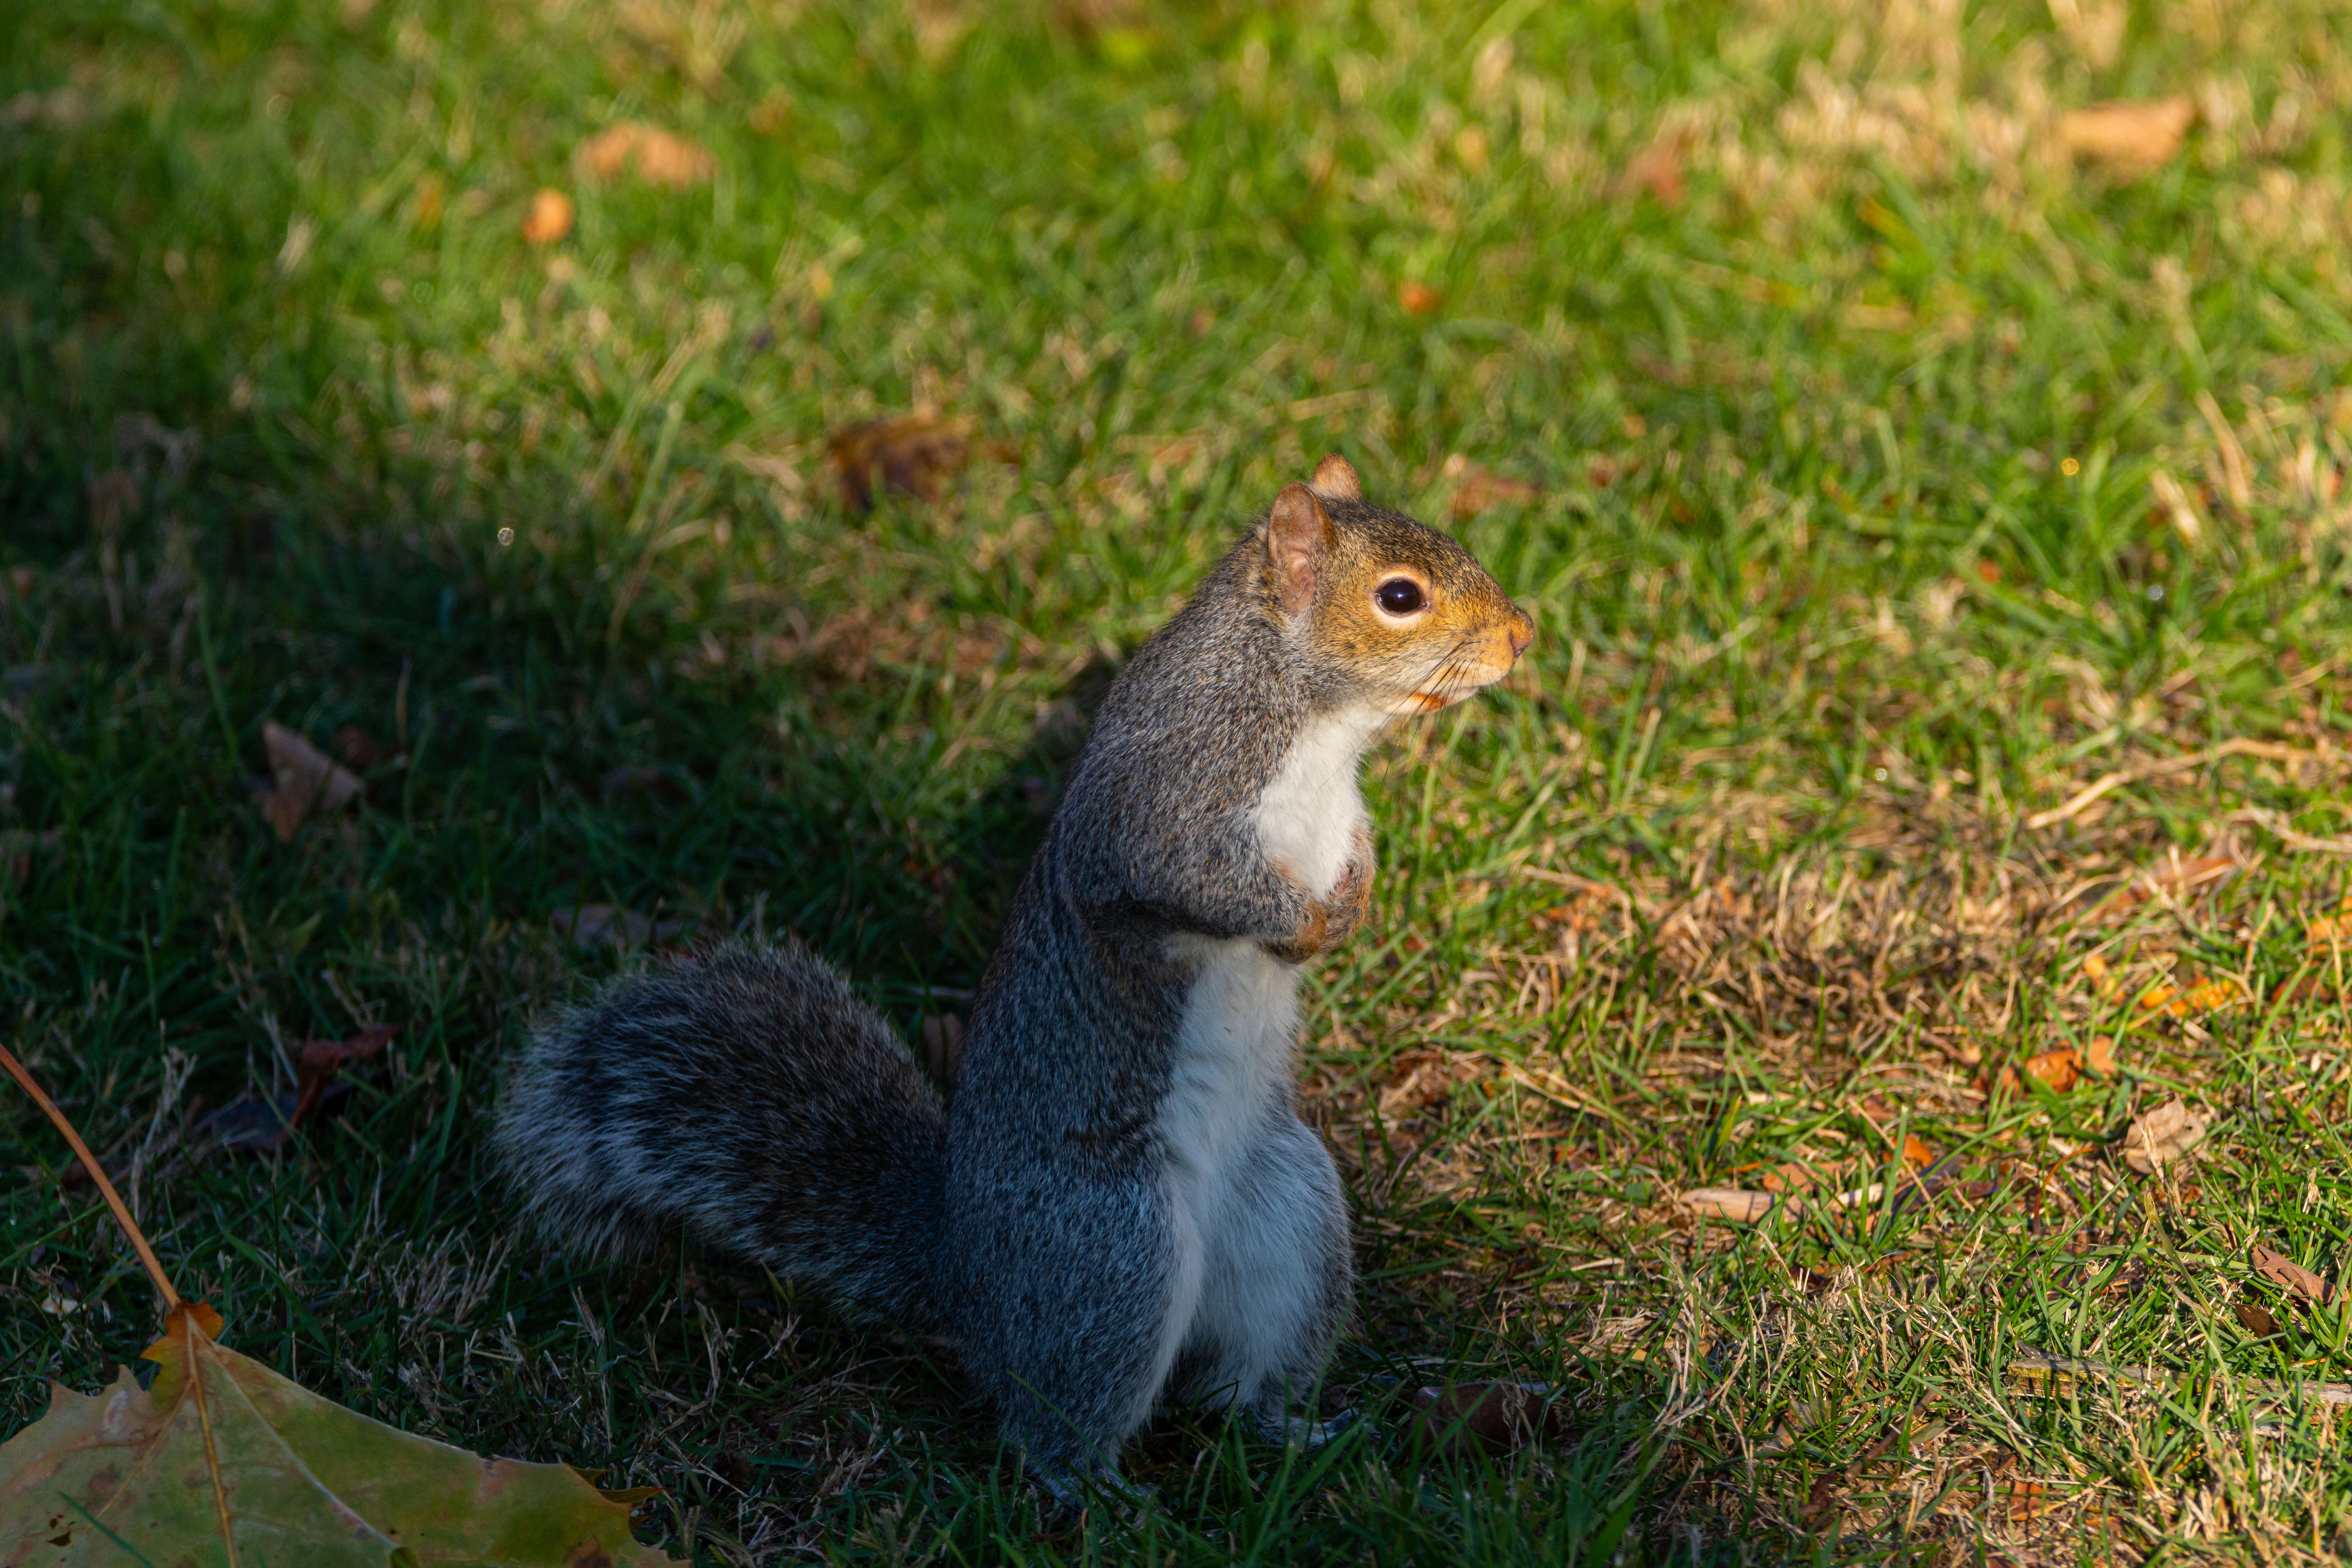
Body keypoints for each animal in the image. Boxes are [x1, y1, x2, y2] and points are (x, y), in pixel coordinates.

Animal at [497, 455, 1535, 1492]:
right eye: (1398, 597)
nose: (1520, 635)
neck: (1311, 718)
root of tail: (969, 1278)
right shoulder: (1161, 805)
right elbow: (1188, 881)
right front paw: (1301, 921)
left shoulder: (1339, 812)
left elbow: (1355, 848)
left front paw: (1351, 903)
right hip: (1112, 1250)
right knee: (1054, 1427)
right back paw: (1108, 1493)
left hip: (1291, 1214)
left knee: (1238, 1386)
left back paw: (1298, 1435)